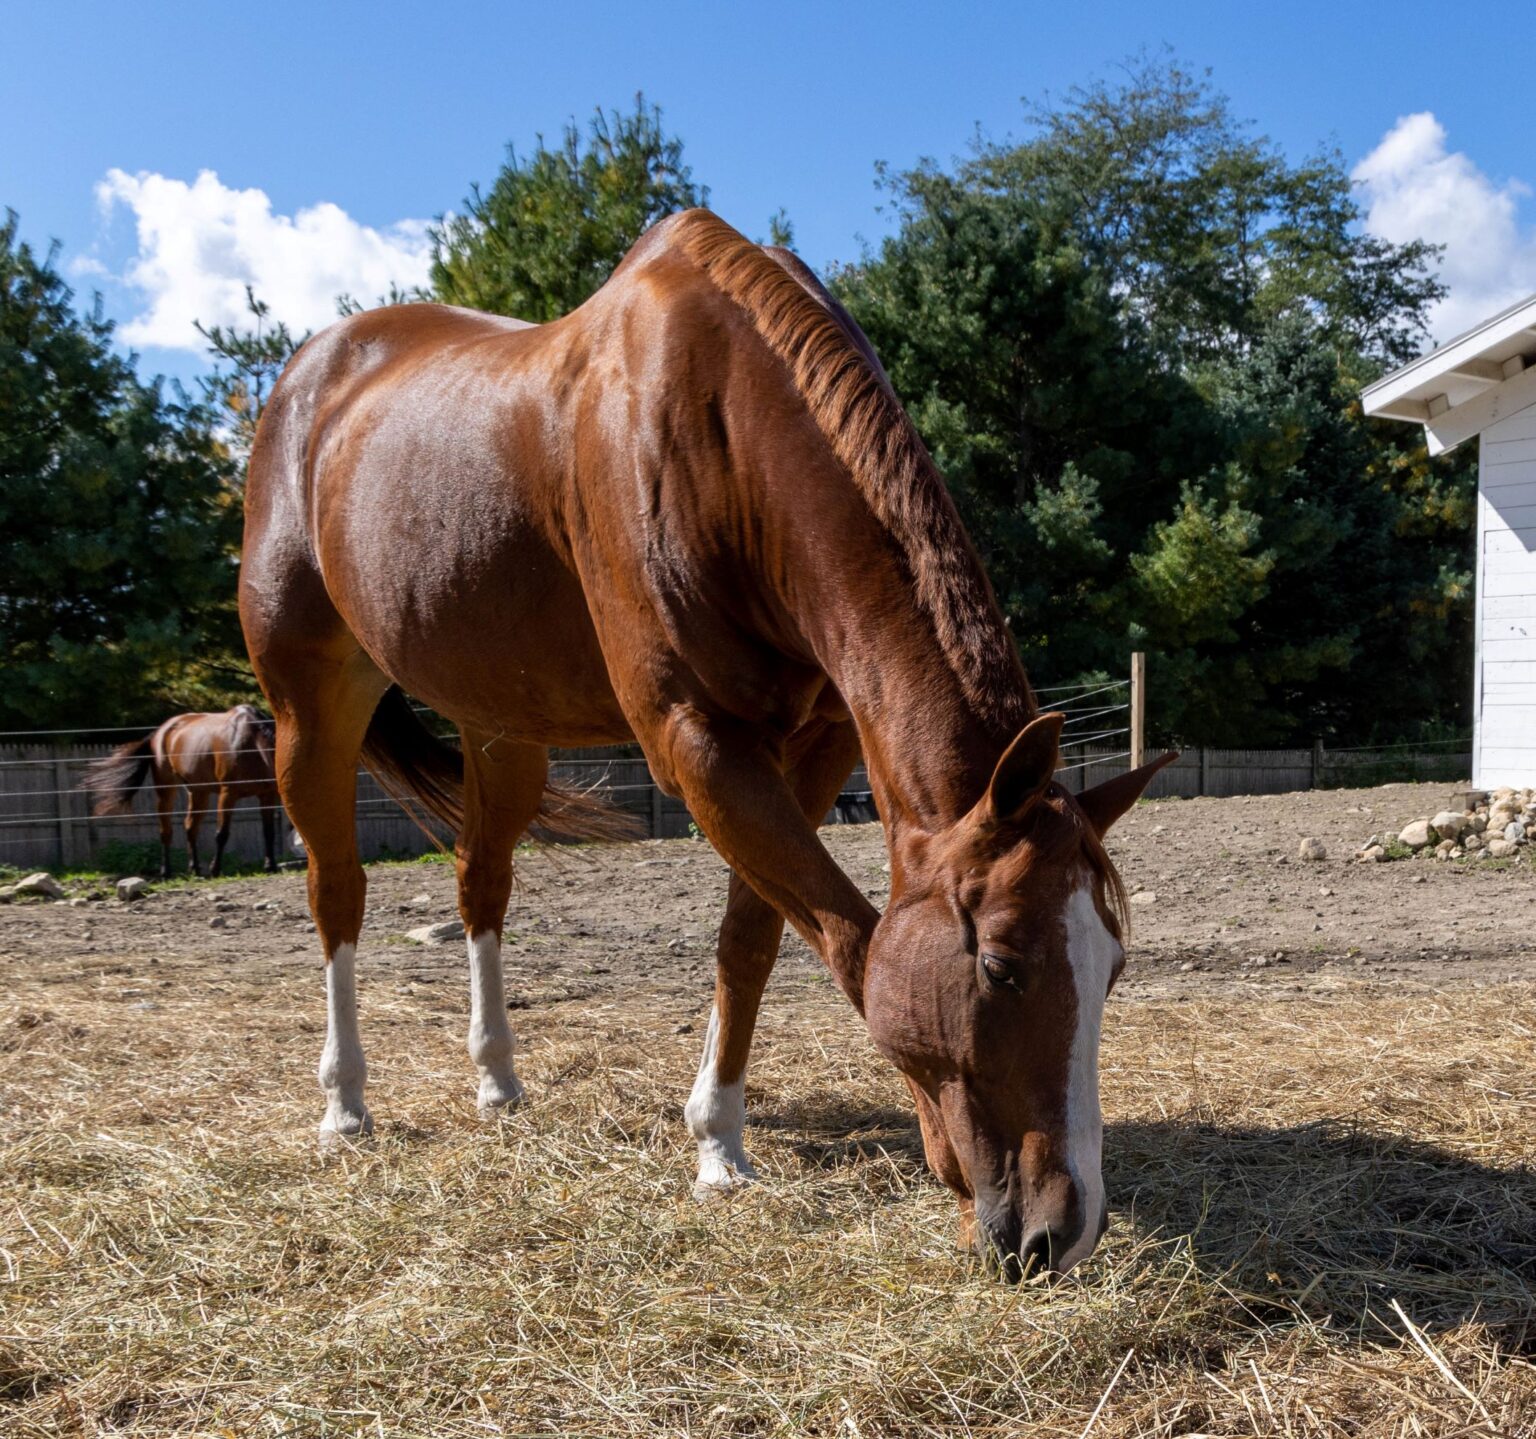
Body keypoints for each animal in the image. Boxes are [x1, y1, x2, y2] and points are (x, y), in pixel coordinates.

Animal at [85, 706, 283, 878]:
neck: (254, 744)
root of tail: (159, 732)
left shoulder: (267, 795)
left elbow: (269, 831)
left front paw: (270, 866)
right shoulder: (228, 794)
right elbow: (222, 833)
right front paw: (215, 869)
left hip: (198, 791)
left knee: (190, 826)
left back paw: (194, 868)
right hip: (166, 789)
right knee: (166, 829)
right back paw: (166, 871)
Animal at [241, 209, 1173, 1278]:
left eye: (1112, 967)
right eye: (1002, 967)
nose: (1062, 1230)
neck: (722, 432)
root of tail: (311, 375)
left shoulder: (814, 740)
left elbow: (755, 938)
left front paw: (721, 1140)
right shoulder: (694, 741)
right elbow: (843, 935)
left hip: (500, 726)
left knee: (481, 884)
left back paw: (497, 1083)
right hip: (312, 704)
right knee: (338, 891)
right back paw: (346, 1104)